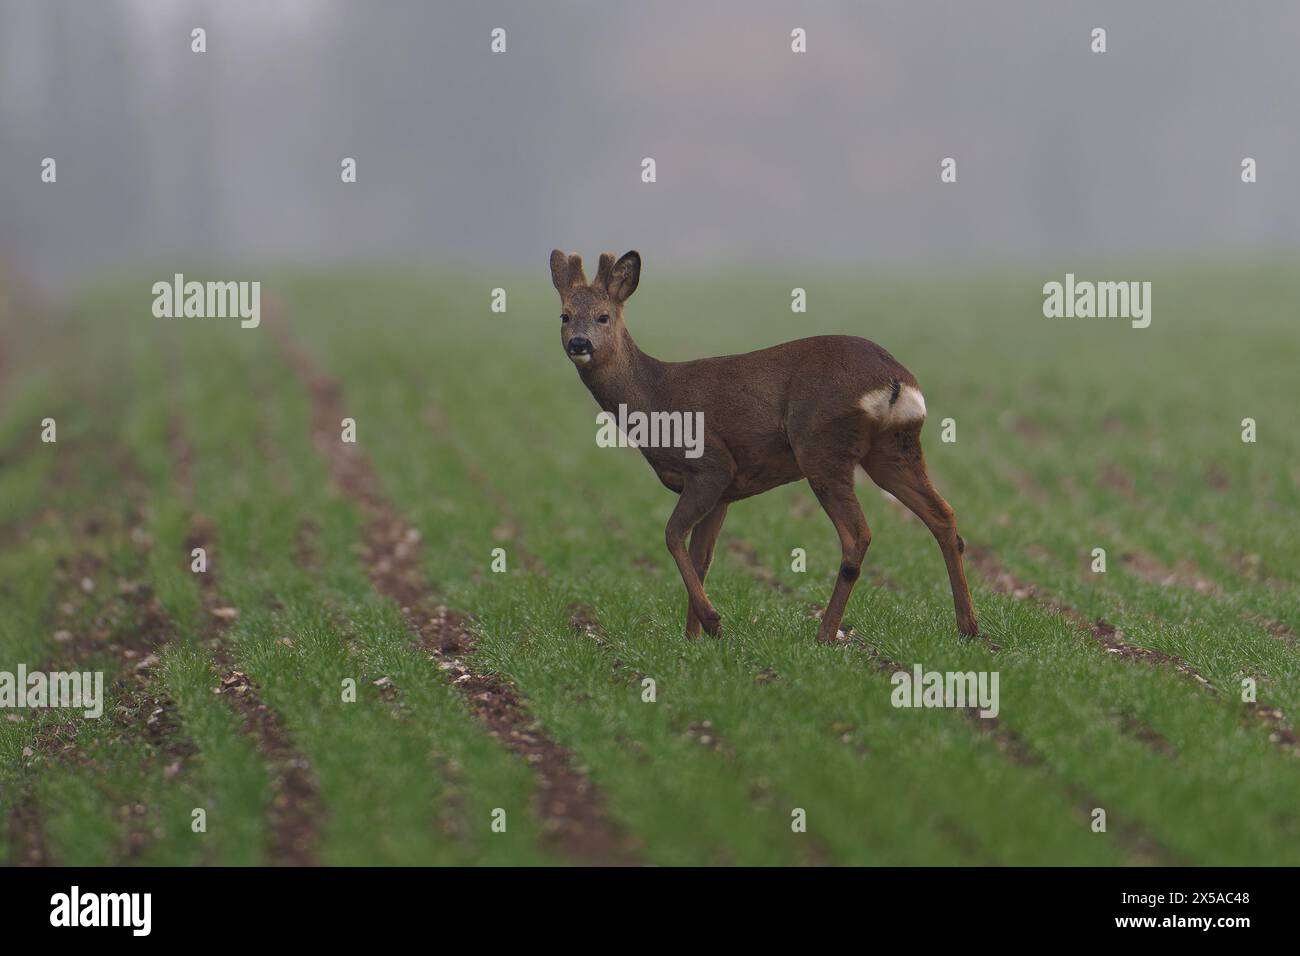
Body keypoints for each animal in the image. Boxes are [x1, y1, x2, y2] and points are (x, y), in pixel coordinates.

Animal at [550, 249, 978, 643]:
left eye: (603, 316)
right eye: (564, 315)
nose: (579, 343)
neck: (654, 397)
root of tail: (895, 380)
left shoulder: (711, 465)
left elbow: (672, 536)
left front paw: (712, 622)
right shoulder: (723, 492)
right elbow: (702, 558)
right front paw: (694, 639)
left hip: (822, 447)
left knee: (858, 534)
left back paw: (825, 634)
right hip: (894, 450)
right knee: (943, 516)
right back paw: (968, 628)